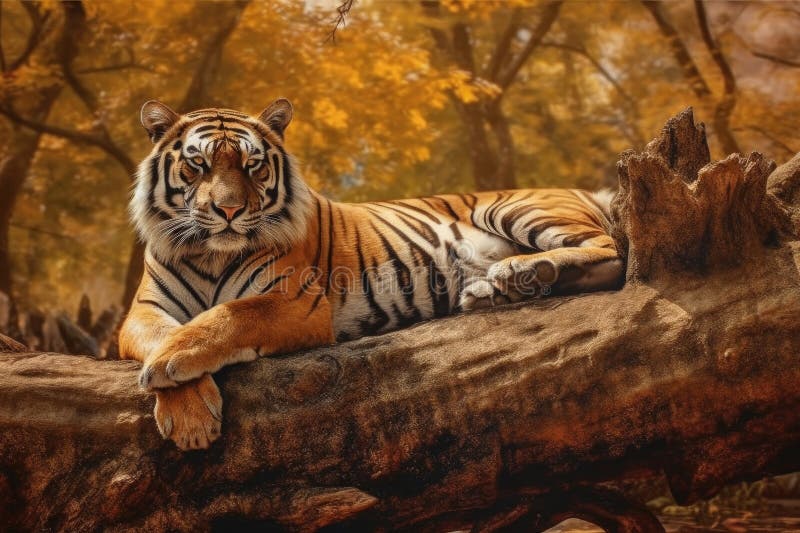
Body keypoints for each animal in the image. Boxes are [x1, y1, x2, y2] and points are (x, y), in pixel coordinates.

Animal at [120, 98, 624, 450]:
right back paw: (498, 289)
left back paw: (516, 270)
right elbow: (162, 334)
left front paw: (170, 366)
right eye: (198, 164)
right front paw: (189, 417)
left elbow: (227, 317)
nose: (228, 211)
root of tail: (582, 189)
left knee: (612, 249)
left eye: (252, 165)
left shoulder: (296, 300)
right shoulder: (142, 311)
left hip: (514, 207)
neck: (210, 255)